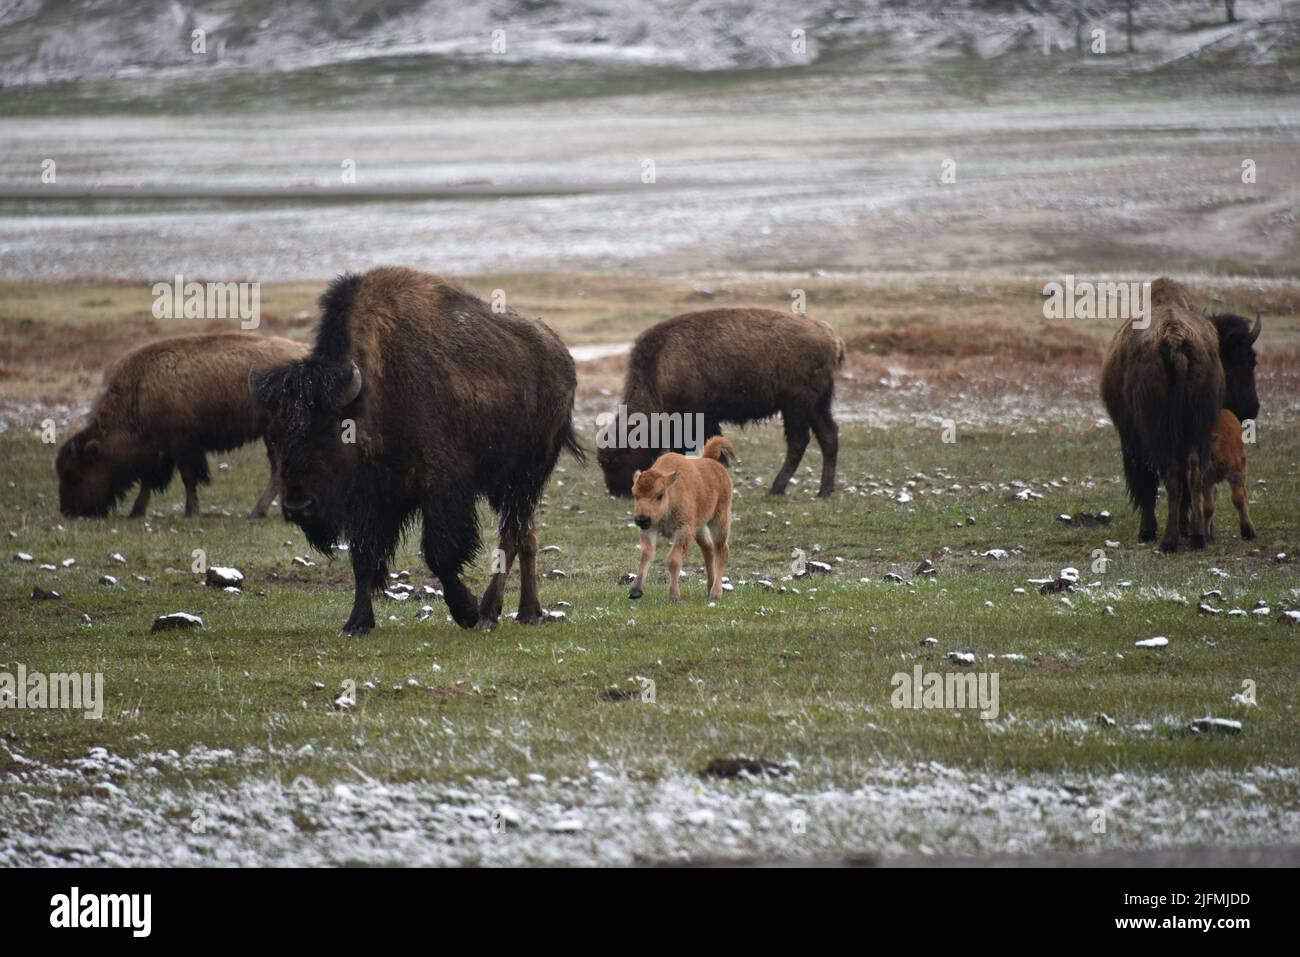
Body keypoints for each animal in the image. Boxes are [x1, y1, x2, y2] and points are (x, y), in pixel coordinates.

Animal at [56, 333, 308, 518]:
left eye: (74, 475)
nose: (69, 512)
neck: (137, 394)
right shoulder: (163, 450)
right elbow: (151, 480)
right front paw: (137, 511)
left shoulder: (182, 446)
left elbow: (187, 477)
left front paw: (190, 511)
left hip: (276, 433)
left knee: (278, 471)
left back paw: (258, 512)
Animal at [251, 267, 581, 635]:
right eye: (275, 436)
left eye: (330, 429)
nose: (298, 504)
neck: (373, 392)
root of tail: (561, 355)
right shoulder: (369, 502)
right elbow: (364, 559)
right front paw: (356, 623)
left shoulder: (441, 489)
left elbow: (439, 553)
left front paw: (465, 611)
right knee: (527, 536)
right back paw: (527, 612)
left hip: (523, 478)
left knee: (510, 537)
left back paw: (488, 612)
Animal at [597, 308, 844, 498]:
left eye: (613, 460)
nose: (618, 492)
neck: (657, 371)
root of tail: (831, 336)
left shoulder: (696, 419)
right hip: (816, 406)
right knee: (828, 436)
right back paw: (823, 491)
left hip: (796, 406)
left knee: (799, 441)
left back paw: (776, 489)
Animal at [1100, 278, 1260, 551]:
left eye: (1252, 361)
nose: (1251, 408)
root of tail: (1174, 339)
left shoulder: (1132, 438)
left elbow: (1145, 482)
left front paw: (1148, 531)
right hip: (1197, 431)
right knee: (1193, 475)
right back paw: (1196, 536)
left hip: (1158, 433)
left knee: (1170, 475)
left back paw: (1168, 540)